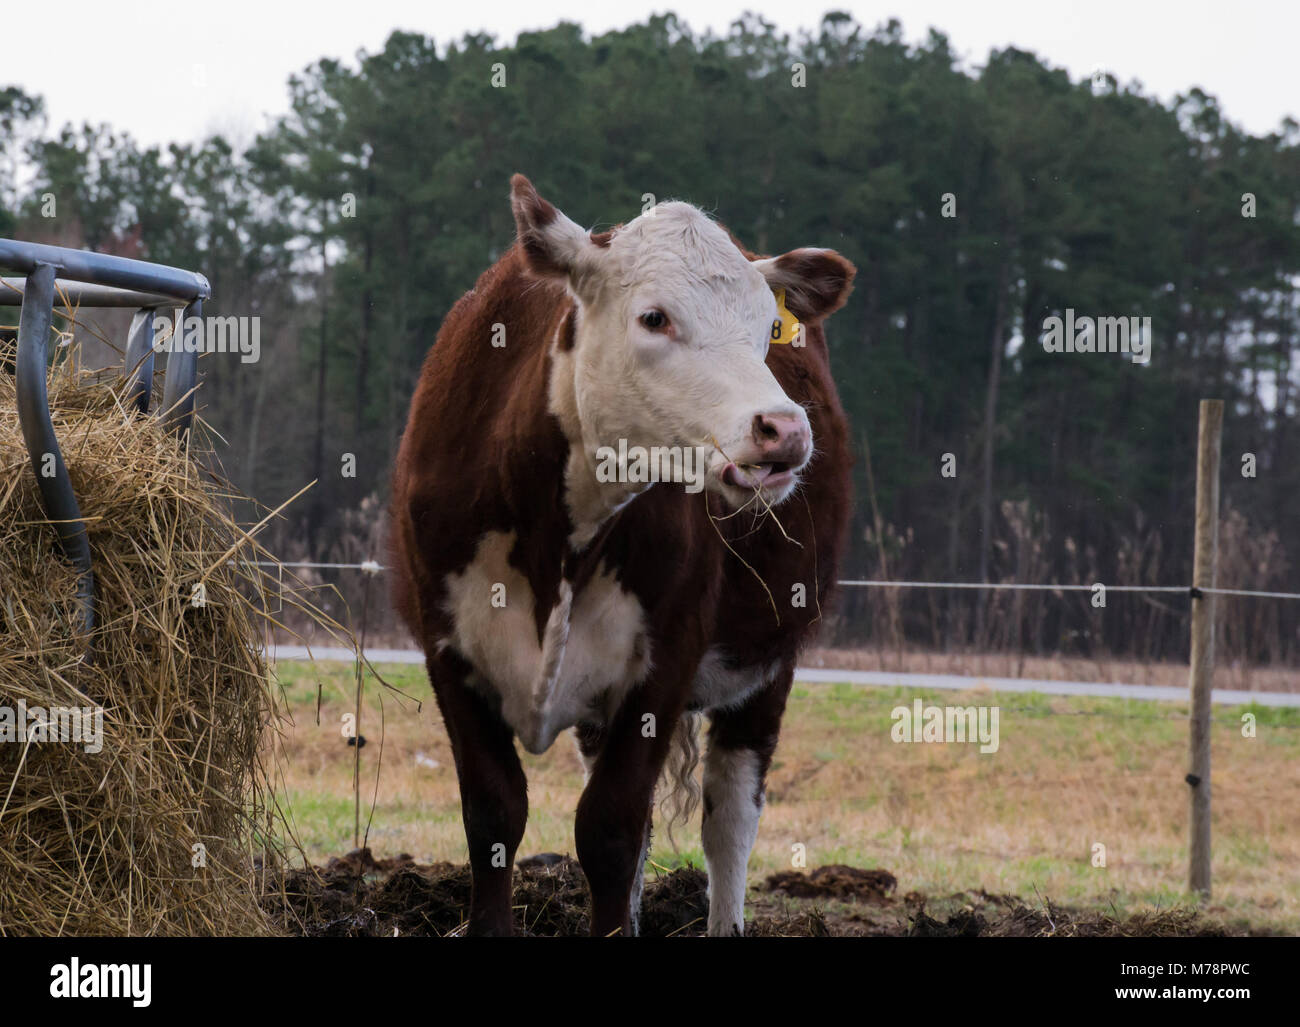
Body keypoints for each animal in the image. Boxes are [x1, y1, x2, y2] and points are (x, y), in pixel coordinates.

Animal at [390, 174, 855, 936]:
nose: (784, 429)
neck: (558, 533)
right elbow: (494, 813)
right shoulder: (446, 645)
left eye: (767, 331)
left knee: (730, 816)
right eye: (654, 317)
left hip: (770, 662)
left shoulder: (665, 660)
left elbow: (609, 829)